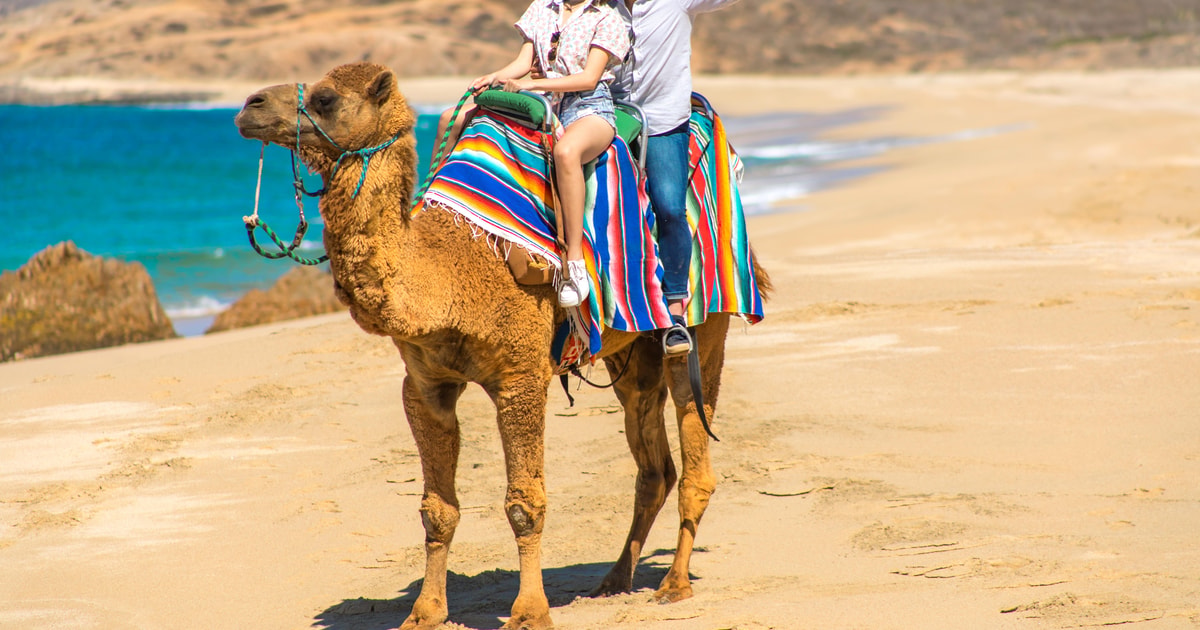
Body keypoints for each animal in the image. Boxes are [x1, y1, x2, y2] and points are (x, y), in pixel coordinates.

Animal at [235, 62, 770, 630]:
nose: (249, 106)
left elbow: (523, 505)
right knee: (653, 465)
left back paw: (673, 584)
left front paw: (530, 611)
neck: (450, 265)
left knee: (695, 449)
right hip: (631, 354)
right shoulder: (425, 384)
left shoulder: (520, 375)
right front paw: (424, 612)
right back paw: (614, 580)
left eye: (327, 98)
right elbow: (437, 510)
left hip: (706, 316)